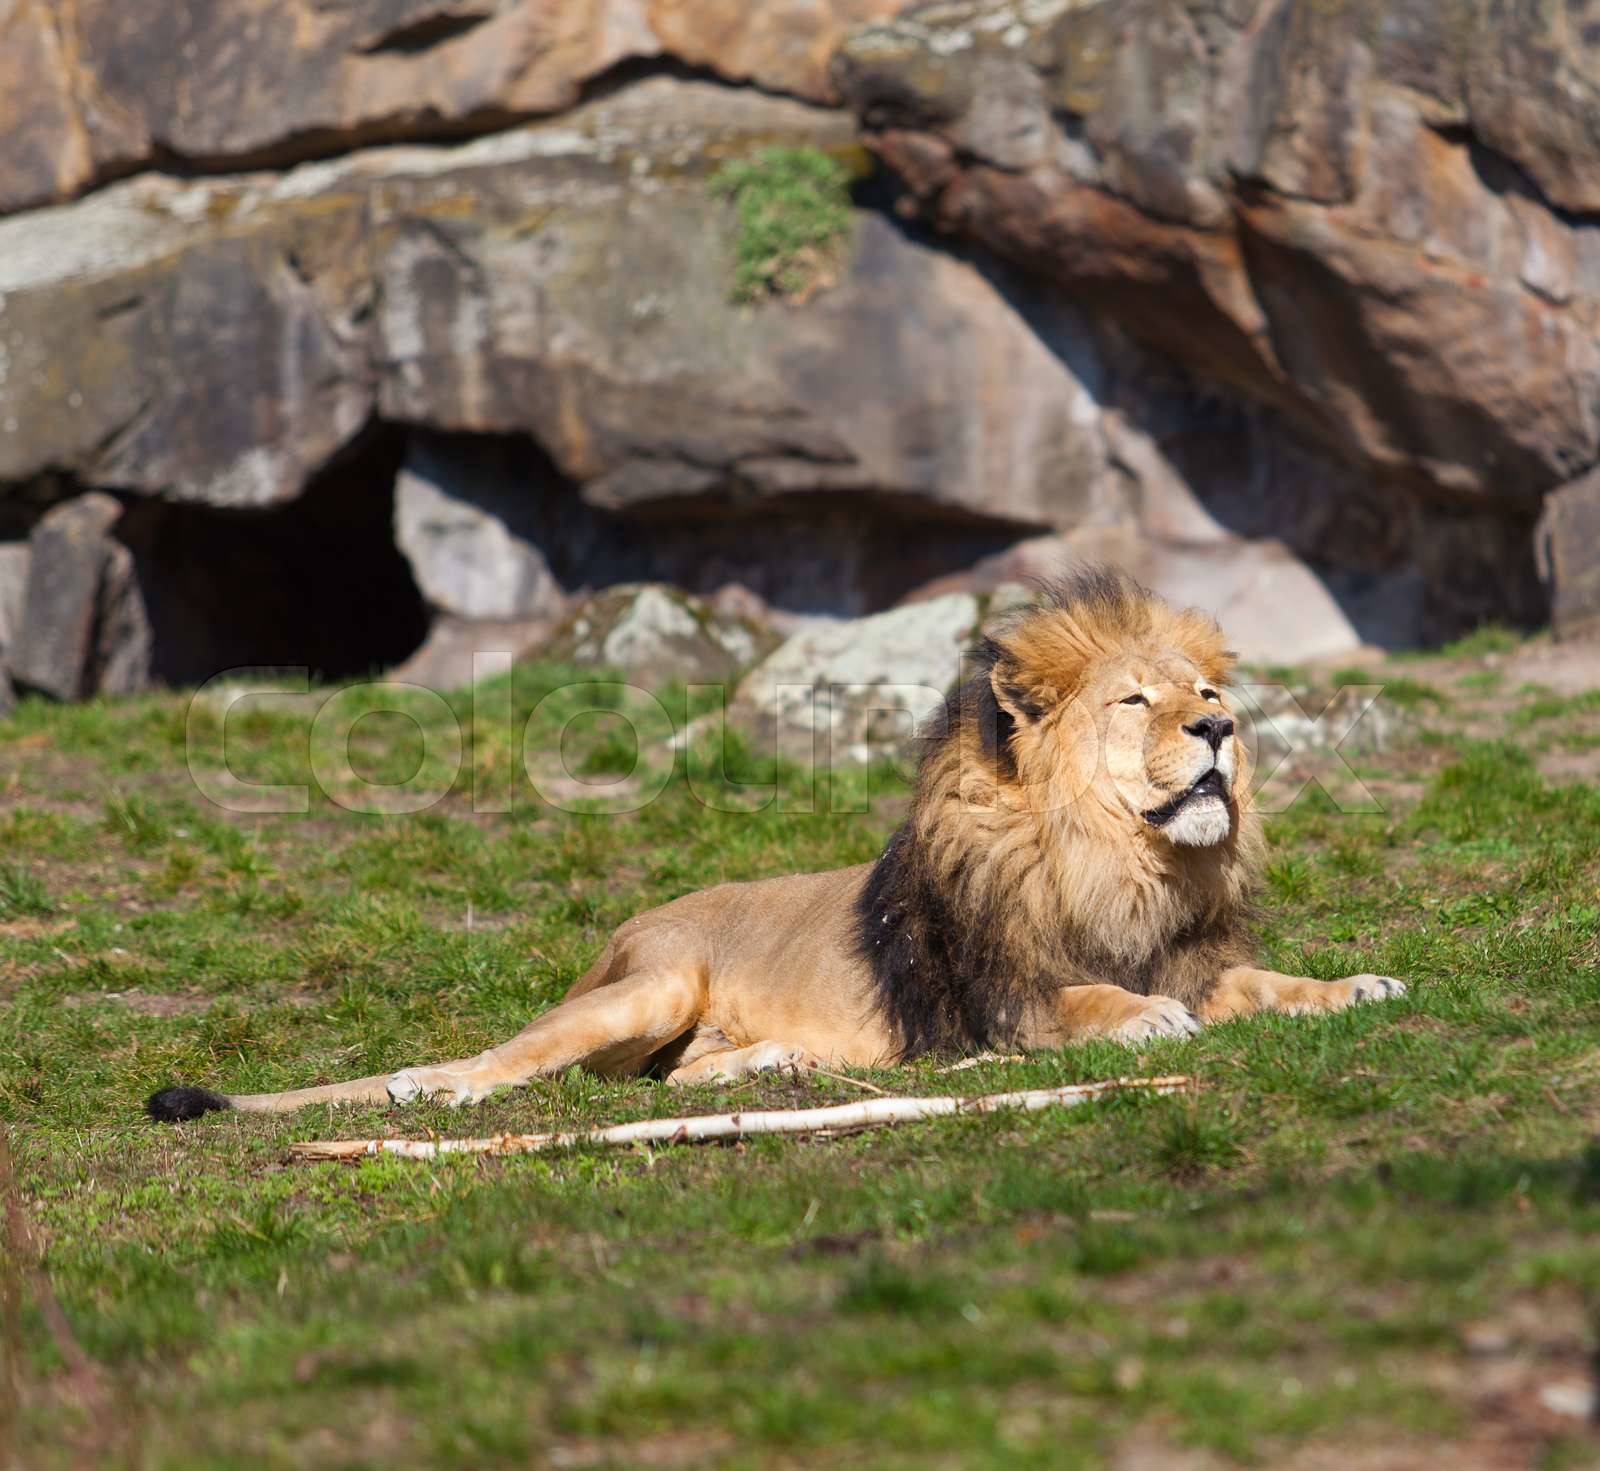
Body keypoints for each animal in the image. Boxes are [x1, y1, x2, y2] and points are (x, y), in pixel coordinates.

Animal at [147, 567, 1404, 1122]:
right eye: (1137, 701)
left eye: (1207, 691)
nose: (1221, 731)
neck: (1125, 861)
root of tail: (628, 924)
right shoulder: (994, 1001)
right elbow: (1083, 1000)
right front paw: (1140, 1020)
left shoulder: (1196, 954)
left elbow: (1269, 981)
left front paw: (1358, 986)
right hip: (644, 989)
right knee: (516, 1058)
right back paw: (431, 1086)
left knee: (675, 1077)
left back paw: (774, 1065)